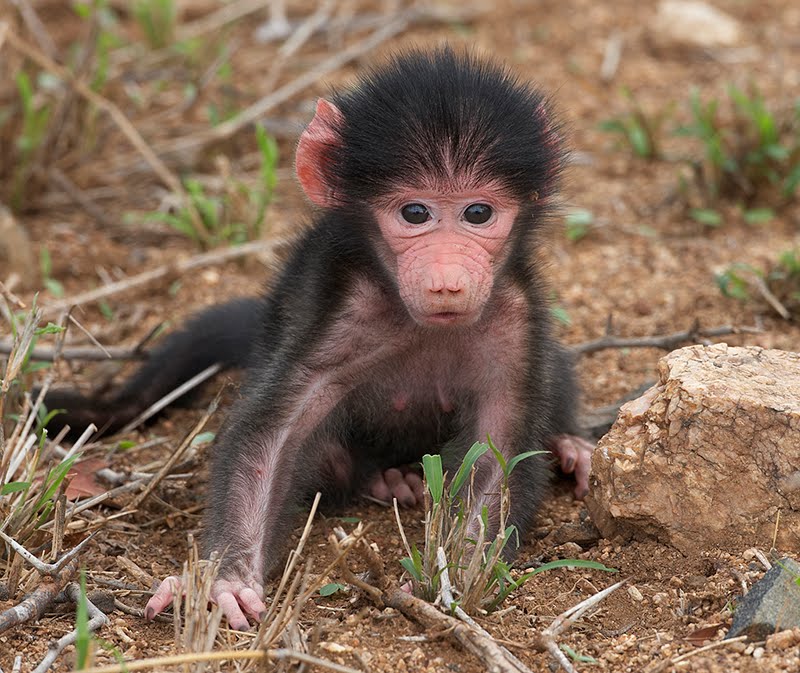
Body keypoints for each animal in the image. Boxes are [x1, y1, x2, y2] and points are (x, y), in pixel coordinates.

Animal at [43, 49, 593, 630]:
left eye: (479, 213)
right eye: (415, 213)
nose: (447, 280)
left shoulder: (513, 316)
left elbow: (498, 449)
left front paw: (455, 578)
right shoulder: (341, 307)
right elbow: (273, 434)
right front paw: (225, 581)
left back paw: (568, 445)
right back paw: (386, 481)